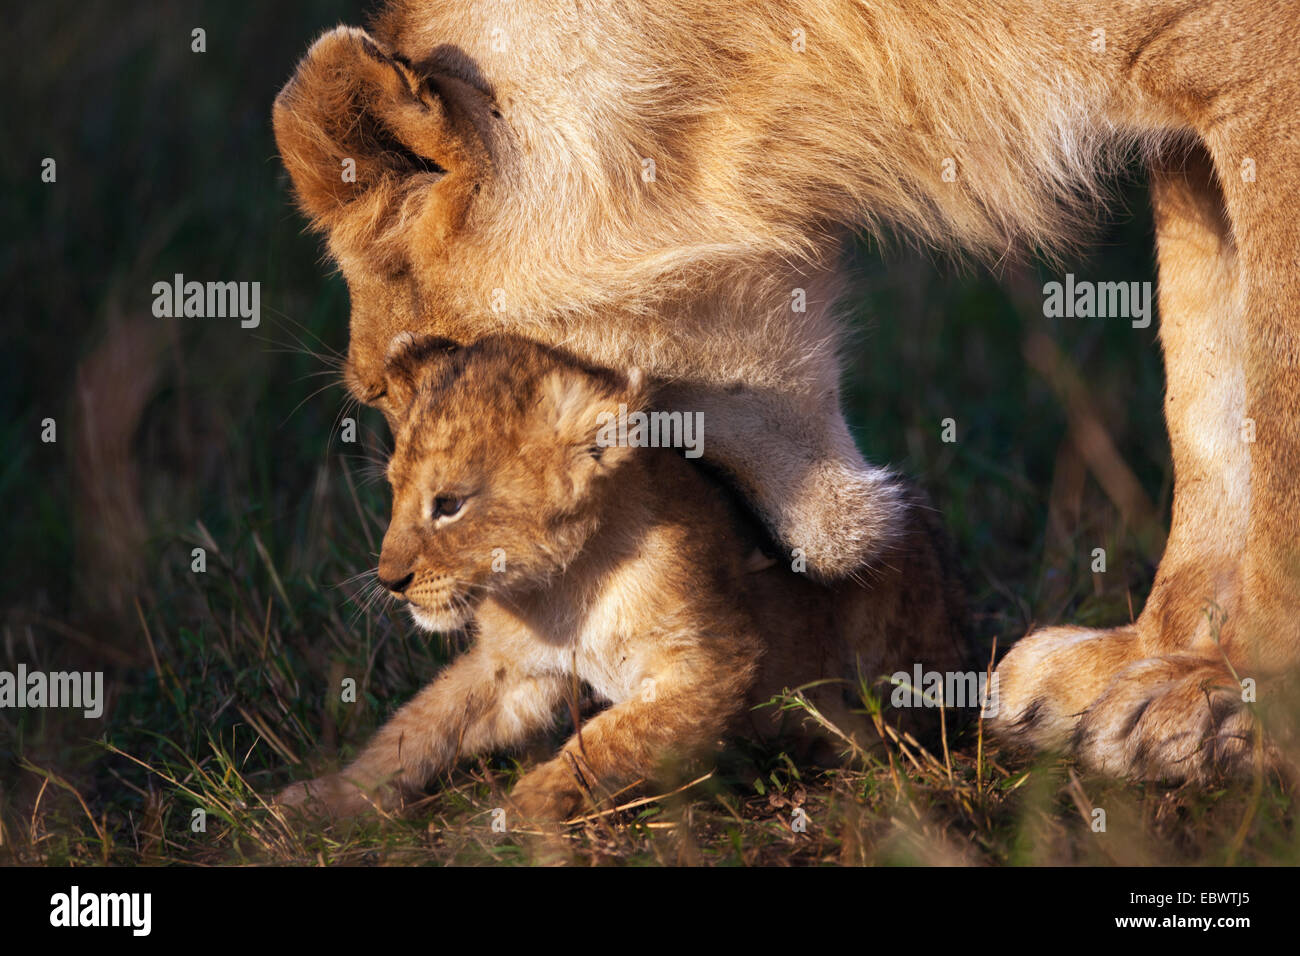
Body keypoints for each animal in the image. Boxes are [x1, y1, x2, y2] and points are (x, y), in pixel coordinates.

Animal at [276, 334, 969, 821]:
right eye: (394, 489)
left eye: (448, 504)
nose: (388, 580)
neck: (562, 587)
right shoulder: (513, 671)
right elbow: (420, 727)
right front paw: (329, 797)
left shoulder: (711, 660)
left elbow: (611, 736)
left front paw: (527, 806)